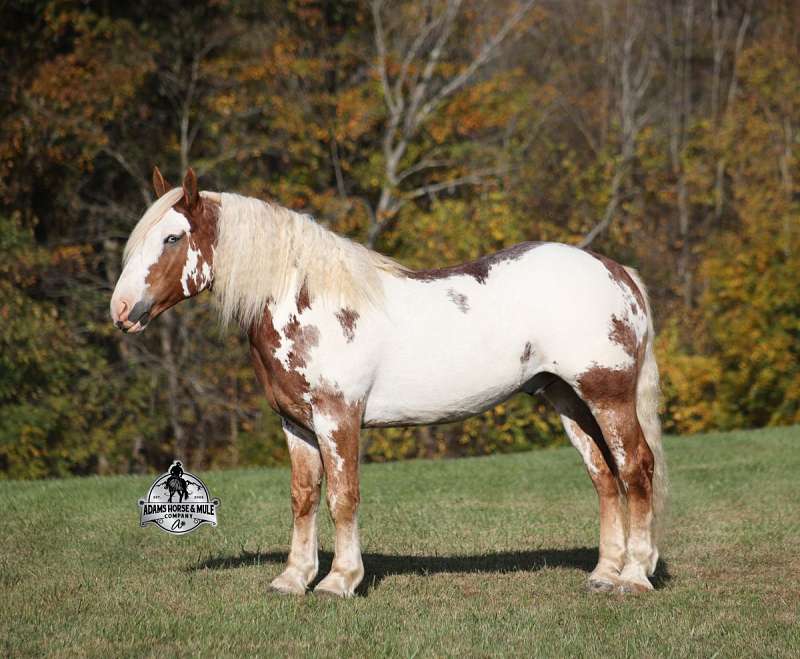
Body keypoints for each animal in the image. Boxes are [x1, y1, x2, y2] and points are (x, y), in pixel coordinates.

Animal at [111, 167, 666, 598]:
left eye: (172, 237)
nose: (121, 311)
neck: (310, 302)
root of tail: (615, 270)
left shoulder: (338, 418)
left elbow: (342, 497)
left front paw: (339, 581)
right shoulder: (297, 425)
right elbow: (303, 497)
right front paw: (293, 579)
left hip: (607, 394)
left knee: (636, 469)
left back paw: (635, 576)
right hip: (566, 398)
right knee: (603, 476)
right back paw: (604, 574)